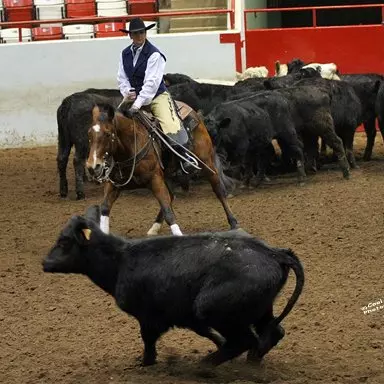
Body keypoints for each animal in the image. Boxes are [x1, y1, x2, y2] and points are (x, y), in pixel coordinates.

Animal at [42, 206, 306, 368]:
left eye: (63, 241)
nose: (45, 262)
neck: (121, 260)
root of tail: (275, 253)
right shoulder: (184, 316)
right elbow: (209, 334)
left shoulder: (150, 317)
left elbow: (148, 340)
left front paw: (145, 362)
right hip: (261, 309)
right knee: (272, 333)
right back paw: (251, 359)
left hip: (214, 308)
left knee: (245, 340)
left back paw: (206, 366)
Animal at [85, 100, 238, 236]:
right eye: (89, 134)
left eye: (107, 134)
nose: (93, 166)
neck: (131, 146)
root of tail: (195, 114)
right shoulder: (113, 184)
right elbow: (105, 208)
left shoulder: (155, 179)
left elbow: (168, 211)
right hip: (168, 174)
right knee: (171, 195)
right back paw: (154, 227)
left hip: (207, 162)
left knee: (219, 190)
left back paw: (233, 222)